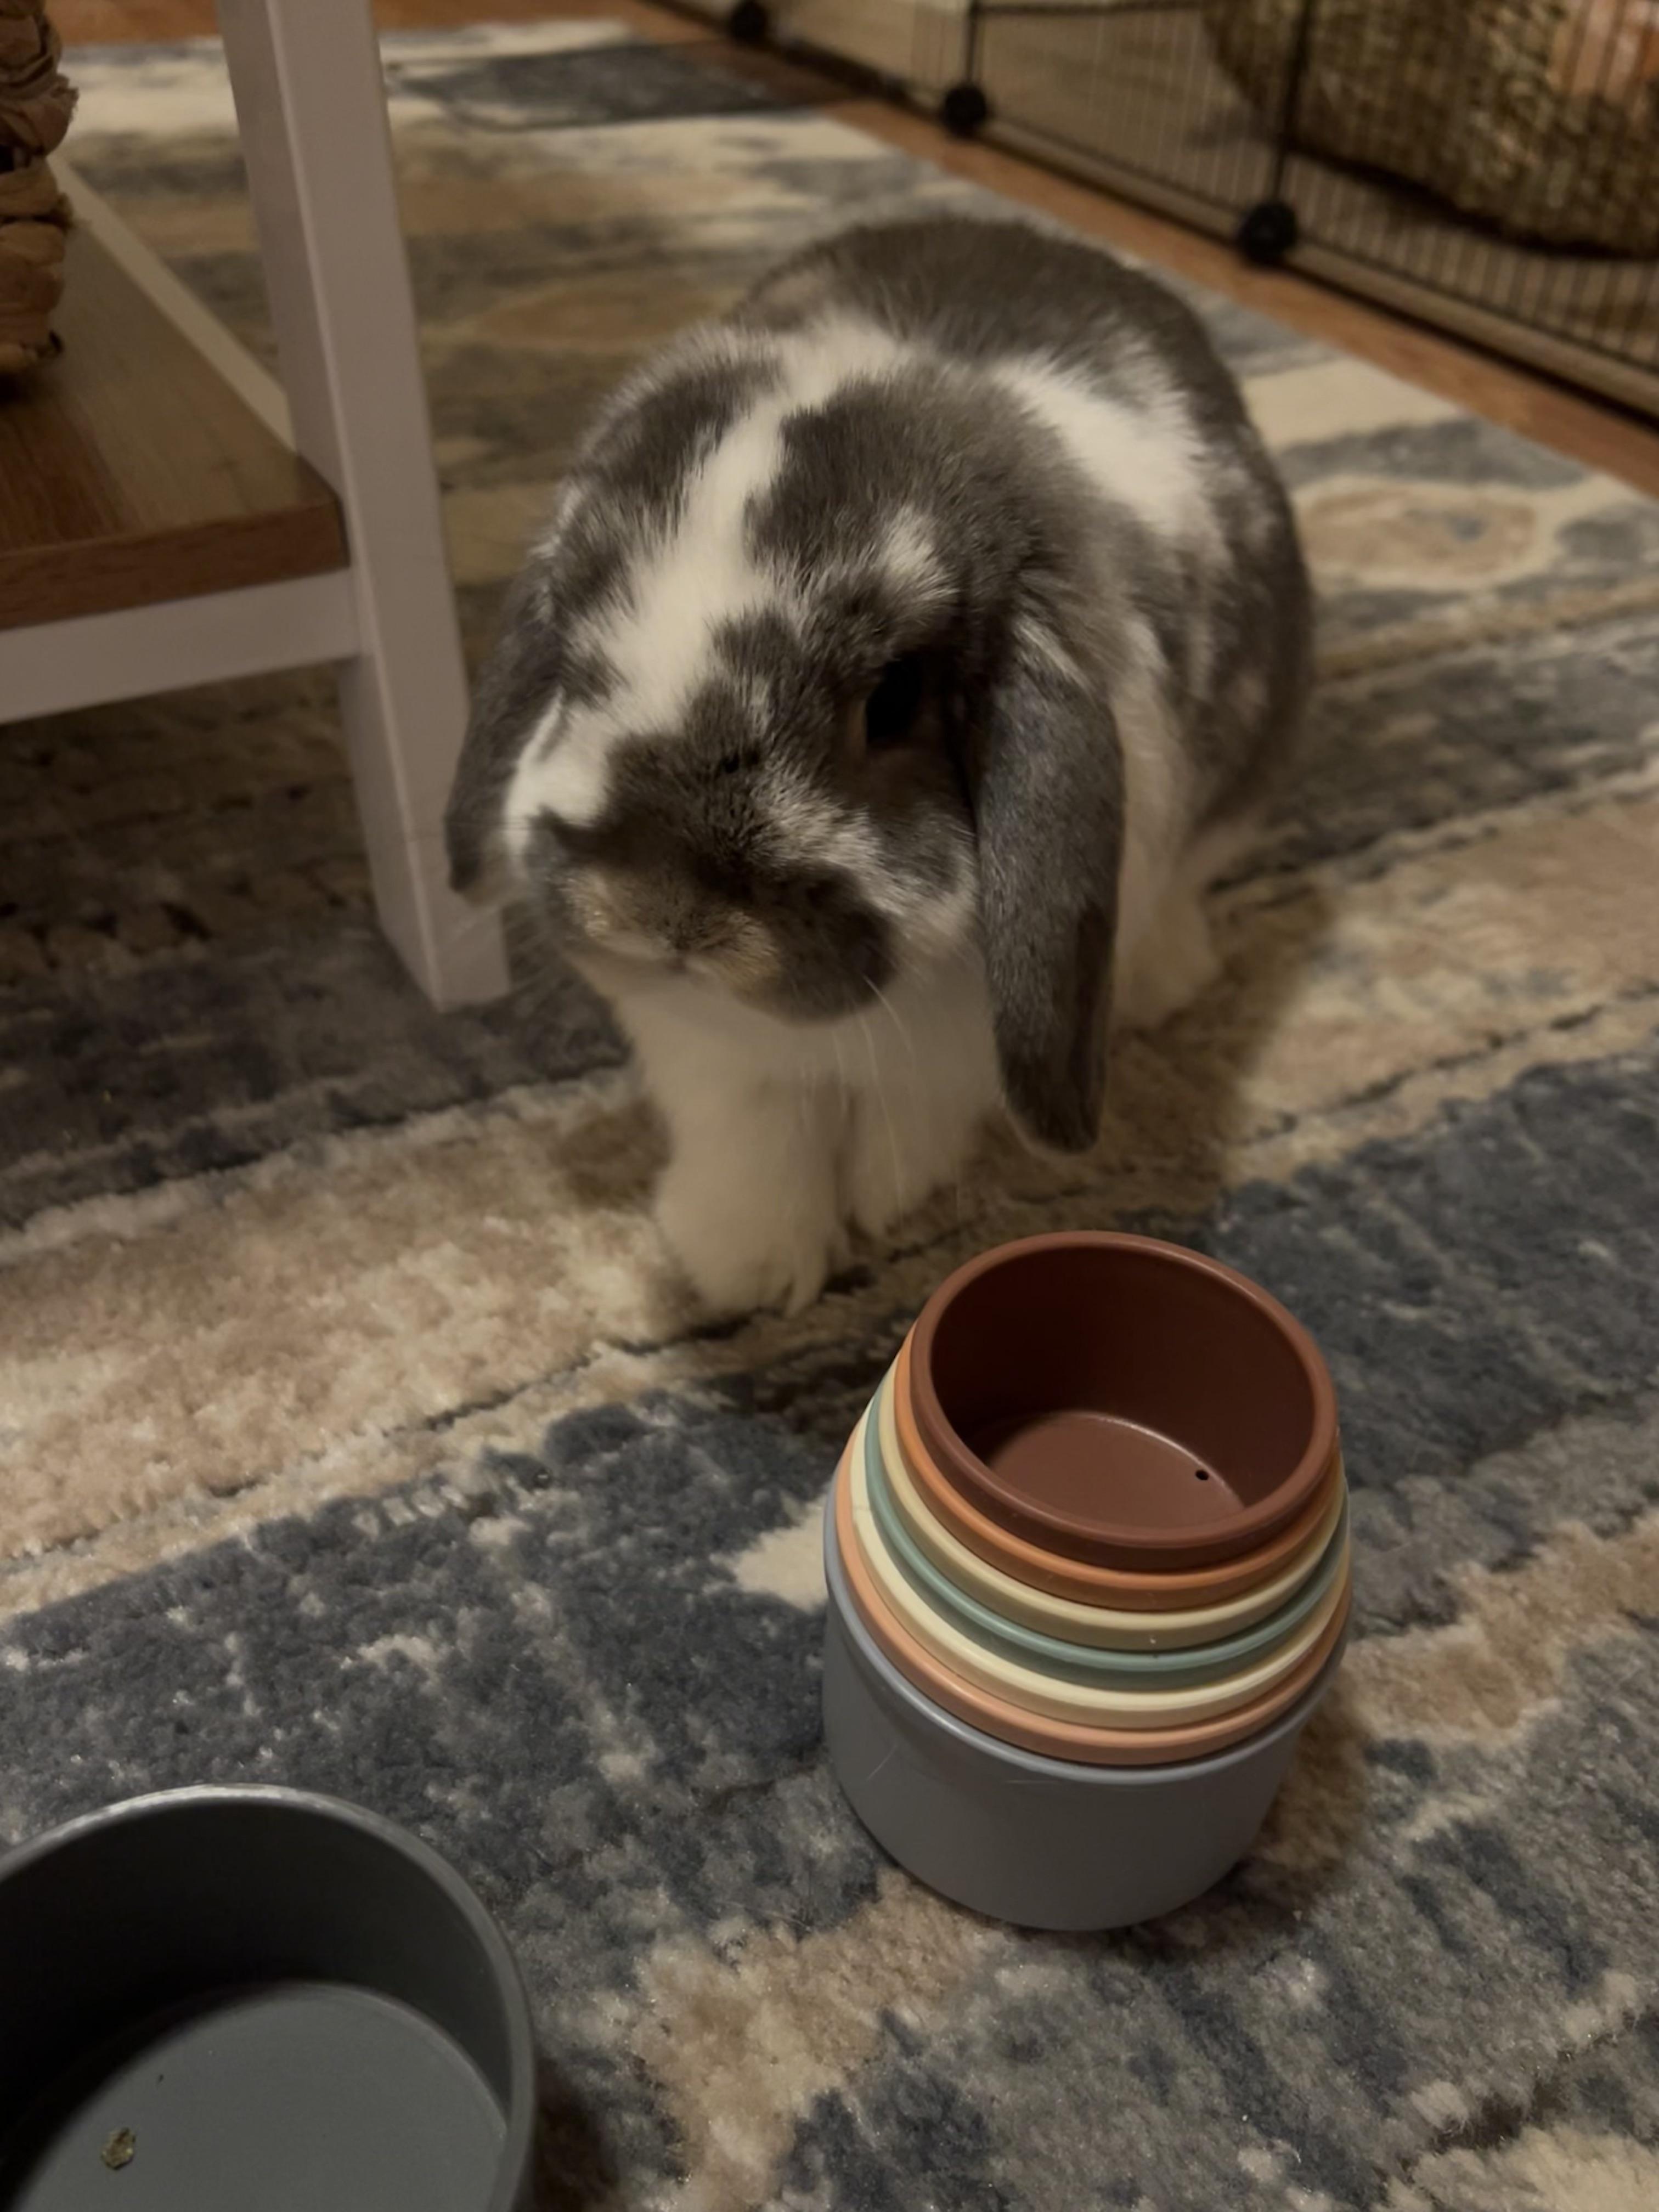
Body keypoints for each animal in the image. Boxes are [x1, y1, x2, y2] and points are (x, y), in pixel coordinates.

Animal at [445, 215, 1311, 1318]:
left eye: (893, 699)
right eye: (573, 638)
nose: (662, 910)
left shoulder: (952, 1050)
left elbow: (904, 1117)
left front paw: (881, 1202)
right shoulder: (713, 1055)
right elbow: (753, 1134)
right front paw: (744, 1265)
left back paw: (1165, 980)